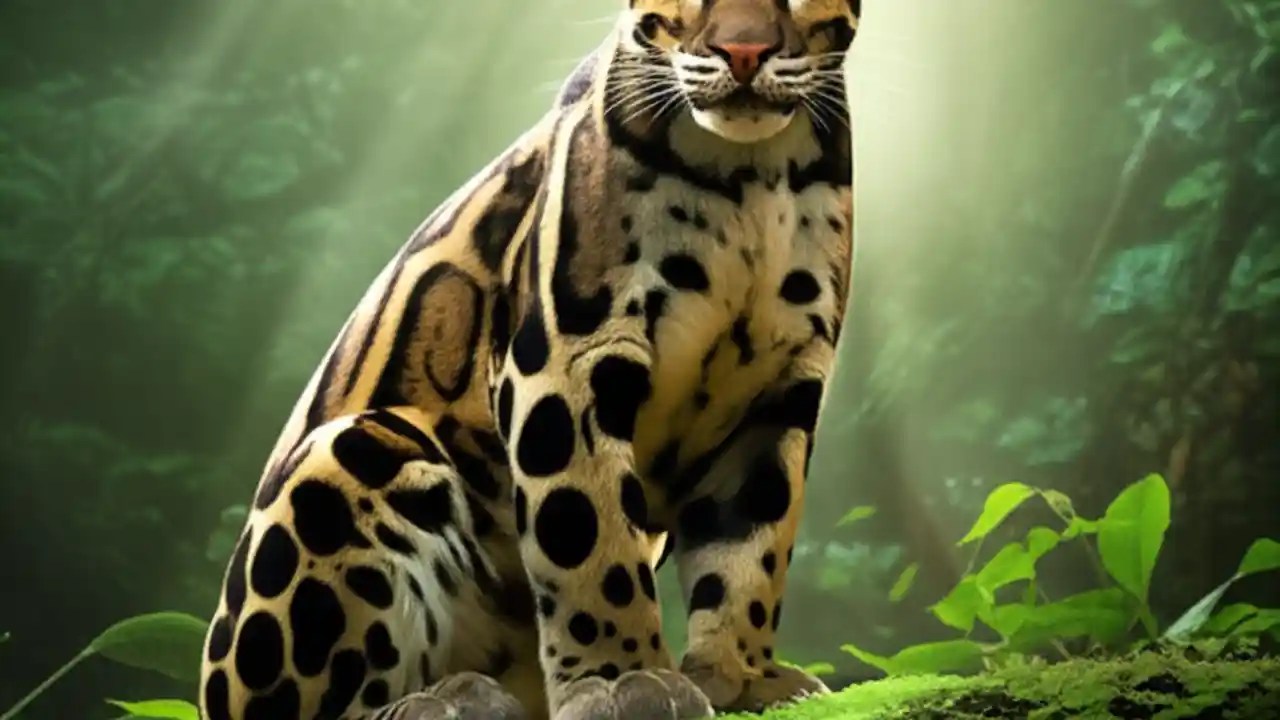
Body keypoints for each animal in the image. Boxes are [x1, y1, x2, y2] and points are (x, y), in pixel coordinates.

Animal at [197, 1, 859, 718]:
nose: (744, 53)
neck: (753, 172)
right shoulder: (568, 355)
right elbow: (590, 538)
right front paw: (621, 677)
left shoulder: (780, 388)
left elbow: (751, 547)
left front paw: (743, 677)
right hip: (351, 448)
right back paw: (448, 698)